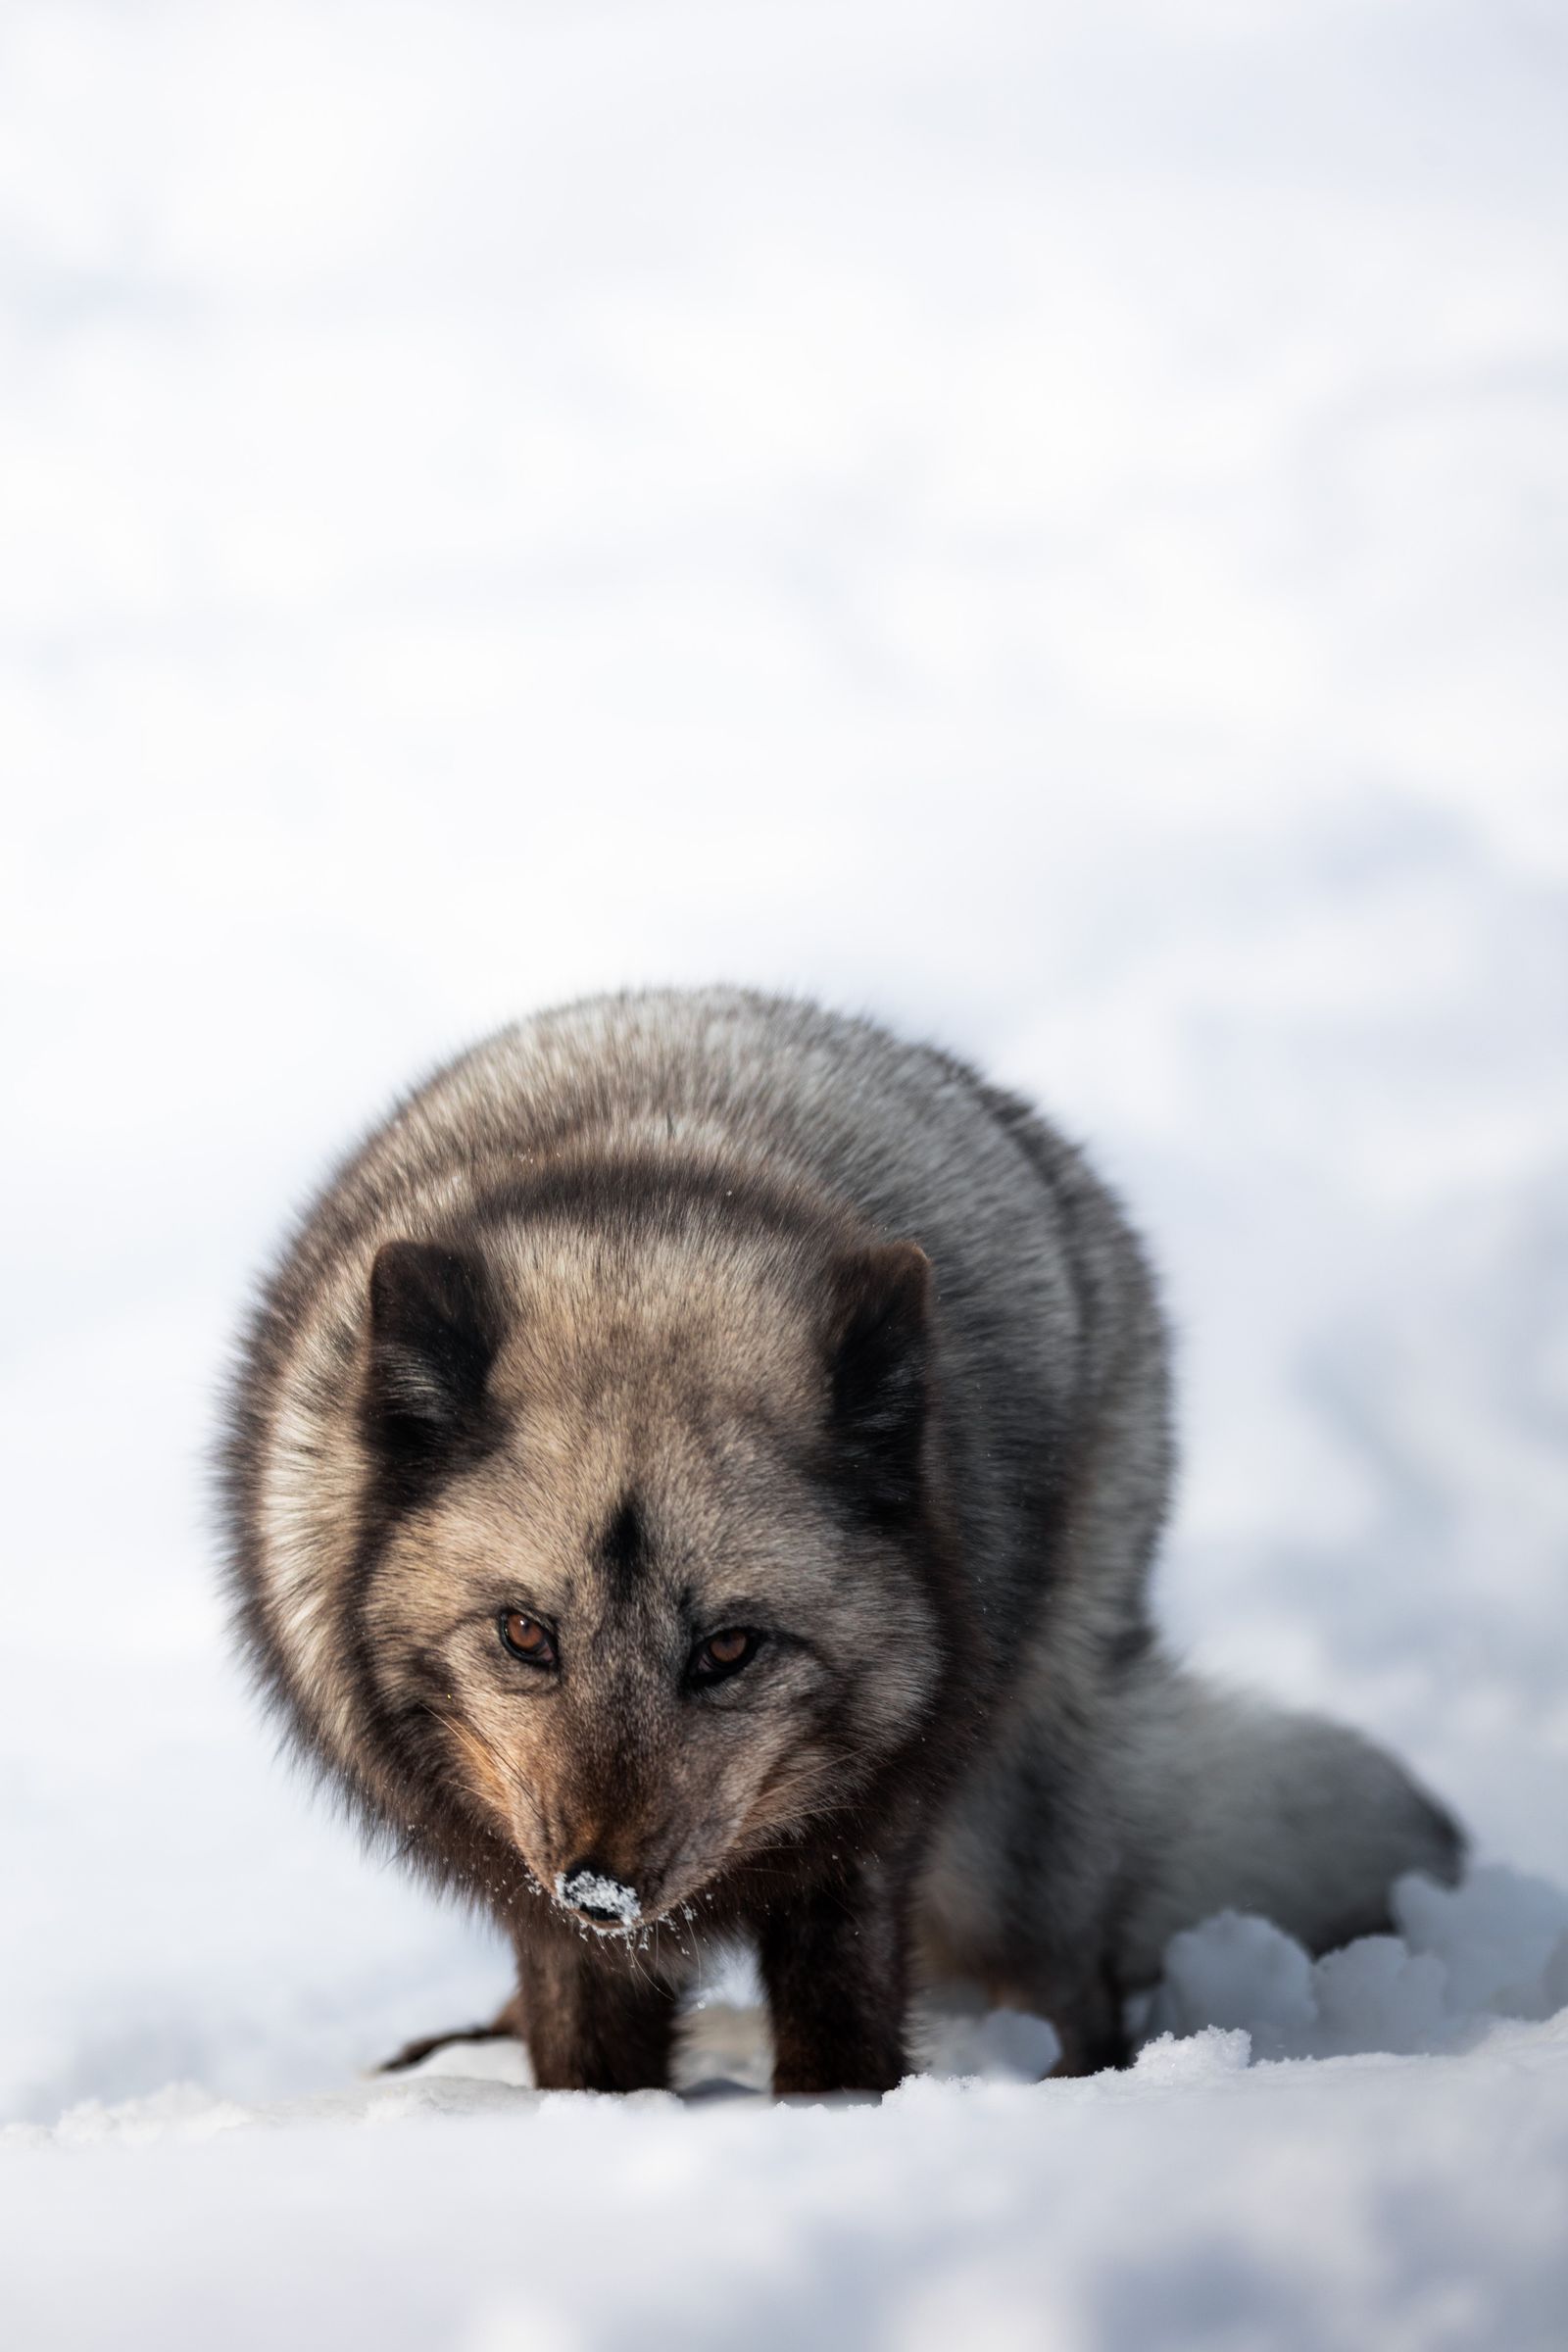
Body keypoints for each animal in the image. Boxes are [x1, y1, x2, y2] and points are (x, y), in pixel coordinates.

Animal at [221, 987, 1462, 2092]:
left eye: (729, 1649)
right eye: (525, 1634)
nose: (601, 1892)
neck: (657, 1197)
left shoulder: (859, 1854)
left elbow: (839, 2040)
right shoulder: (544, 1904)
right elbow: (585, 2065)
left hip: (1010, 1827)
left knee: (1072, 1984)